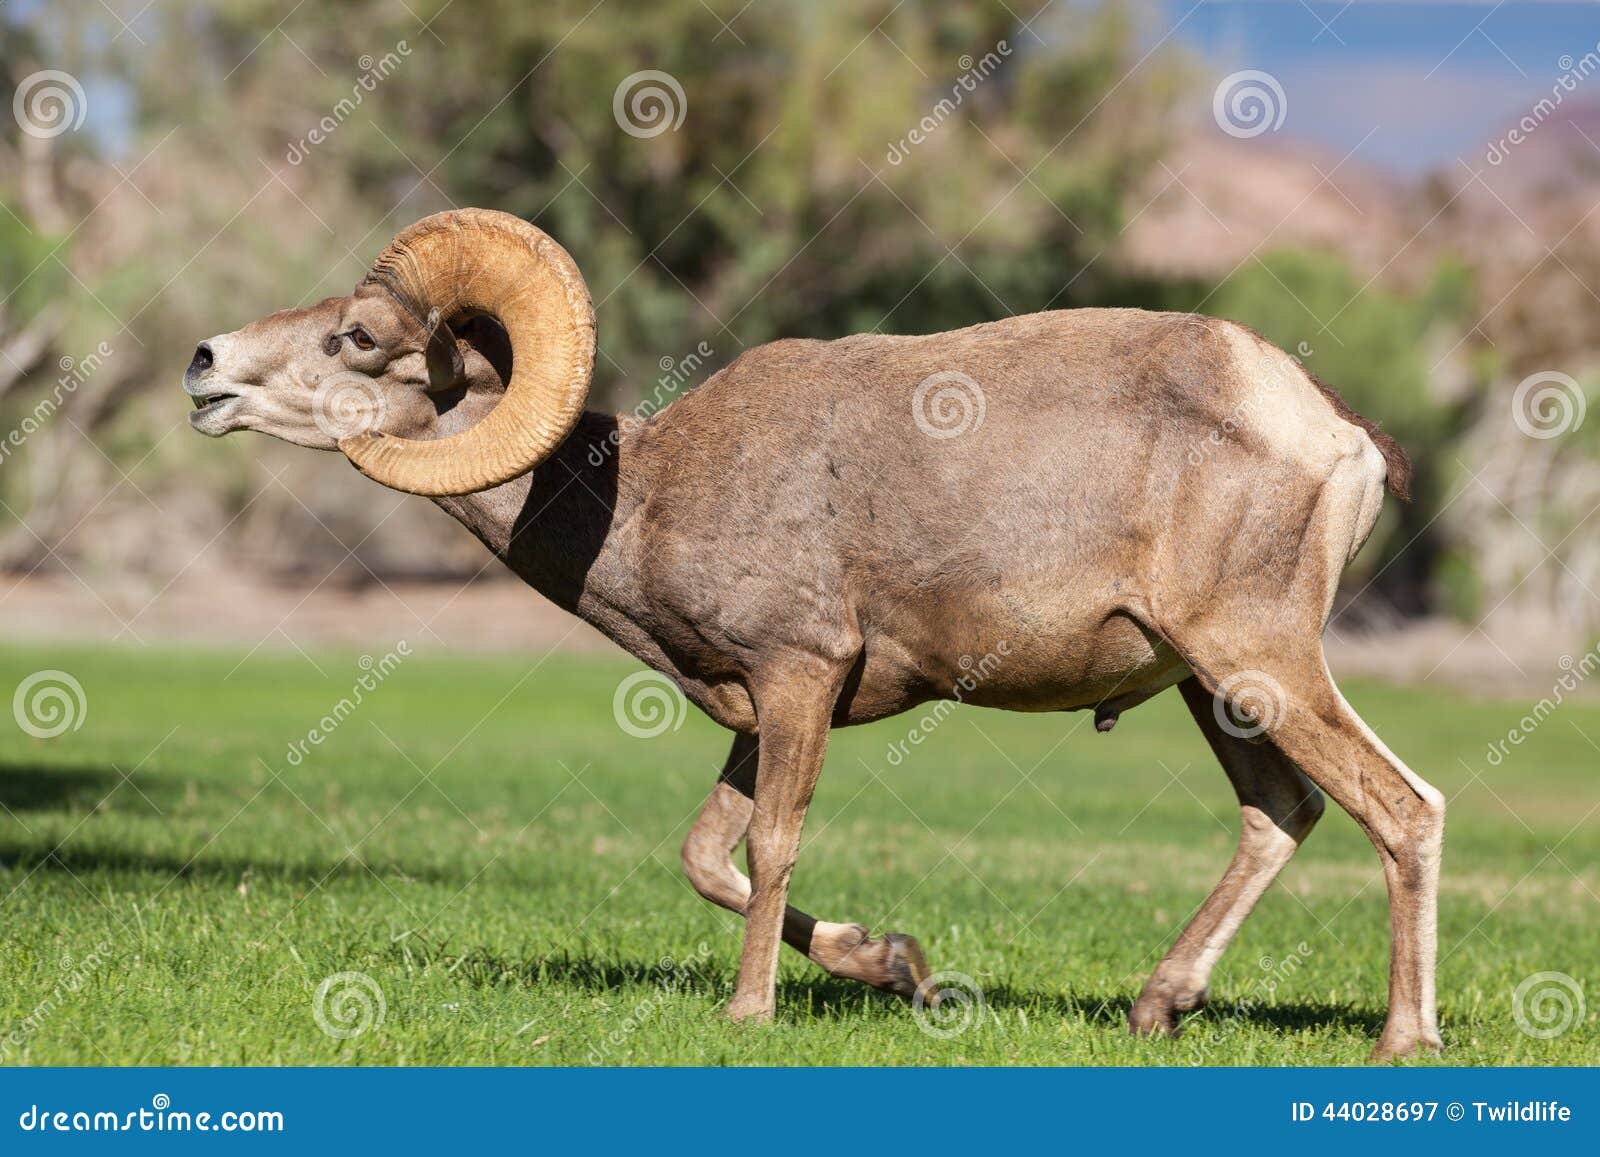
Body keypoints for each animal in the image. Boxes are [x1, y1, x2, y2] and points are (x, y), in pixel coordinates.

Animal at [182, 208, 1441, 1058]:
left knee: (1403, 808)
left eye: (355, 338)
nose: (204, 366)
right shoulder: (757, 709)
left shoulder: (798, 677)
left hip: (1258, 661)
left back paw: (1401, 1039)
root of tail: (1333, 432)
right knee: (1281, 812)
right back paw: (1154, 1007)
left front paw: (749, 1011)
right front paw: (895, 968)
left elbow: (773, 844)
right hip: (1209, 685)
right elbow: (707, 855)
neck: (649, 494)